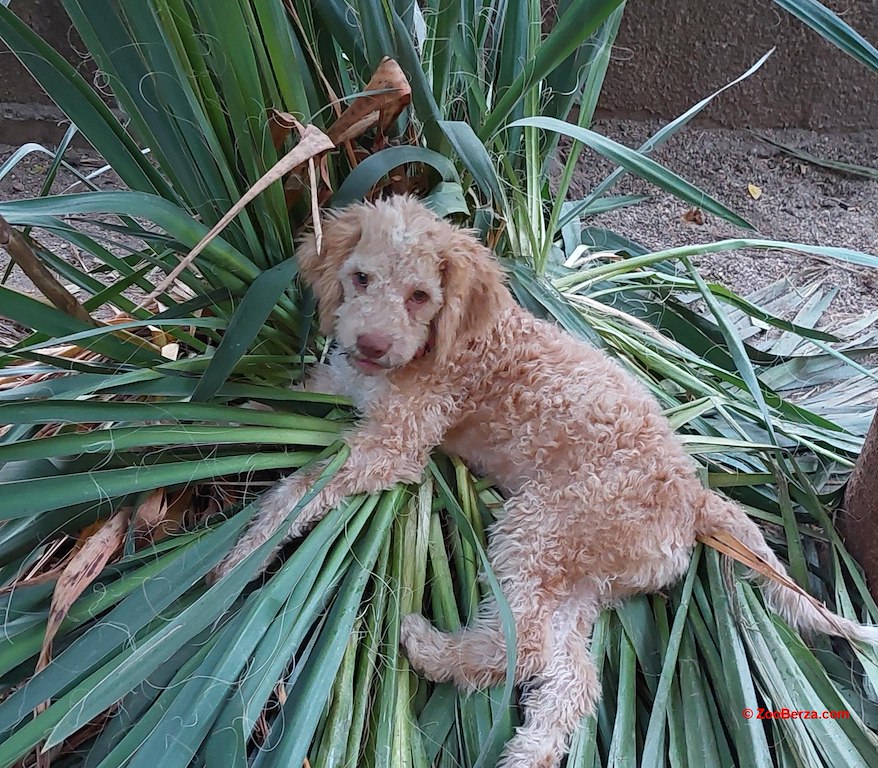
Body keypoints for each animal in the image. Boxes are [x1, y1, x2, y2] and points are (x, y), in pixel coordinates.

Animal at [215, 195, 878, 764]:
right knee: (574, 678)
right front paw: (228, 419)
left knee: (523, 643)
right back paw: (527, 753)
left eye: (421, 295)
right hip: (581, 577)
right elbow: (289, 400)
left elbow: (298, 492)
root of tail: (694, 498)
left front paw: (241, 557)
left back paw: (429, 648)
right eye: (359, 279)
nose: (372, 345)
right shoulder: (344, 383)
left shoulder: (392, 446)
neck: (449, 344)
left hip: (539, 525)